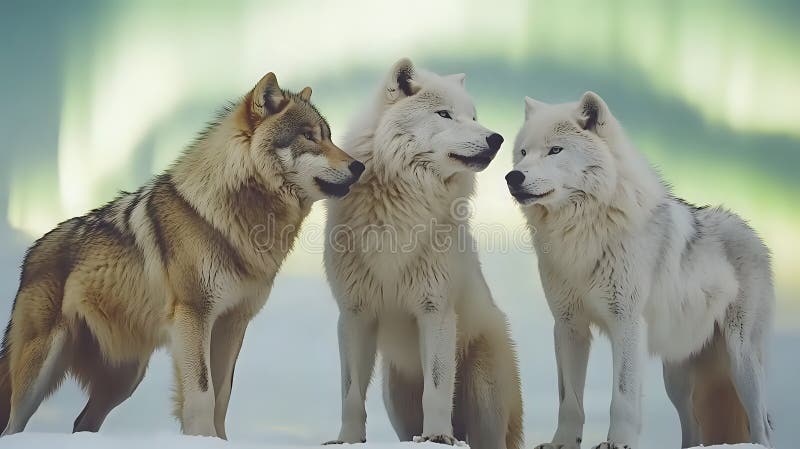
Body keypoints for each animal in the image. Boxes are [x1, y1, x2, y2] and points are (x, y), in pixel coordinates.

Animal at [0, 73, 364, 438]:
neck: (227, 219)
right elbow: (202, 394)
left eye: (328, 136)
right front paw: (203, 438)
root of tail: (32, 252)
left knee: (81, 423)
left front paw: (219, 441)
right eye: (309, 136)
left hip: (126, 378)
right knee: (14, 425)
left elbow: (221, 396)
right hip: (41, 372)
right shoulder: (194, 316)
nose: (359, 166)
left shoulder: (232, 324)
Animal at [323, 58, 523, 449]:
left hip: (484, 401)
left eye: (473, 116)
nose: (496, 138)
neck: (402, 206)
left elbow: (437, 389)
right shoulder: (354, 314)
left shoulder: (436, 310)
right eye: (444, 114)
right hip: (396, 397)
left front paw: (437, 437)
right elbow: (350, 394)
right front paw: (347, 440)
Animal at [506, 91, 774, 449]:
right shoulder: (568, 326)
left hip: (741, 360)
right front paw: (562, 442)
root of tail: (752, 232)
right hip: (676, 379)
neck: (580, 231)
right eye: (523, 153)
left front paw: (618, 442)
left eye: (555, 150)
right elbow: (569, 400)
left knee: (762, 426)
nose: (513, 177)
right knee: (693, 429)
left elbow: (622, 397)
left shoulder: (627, 323)